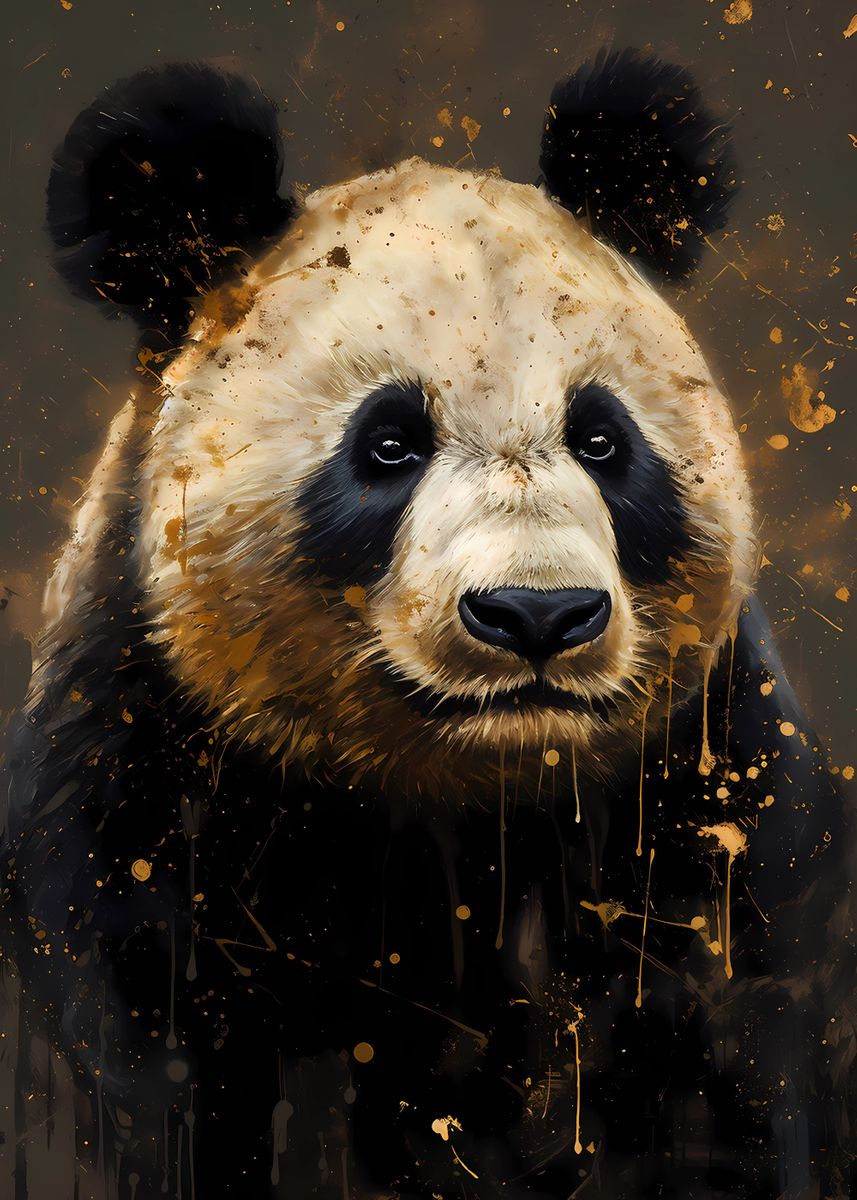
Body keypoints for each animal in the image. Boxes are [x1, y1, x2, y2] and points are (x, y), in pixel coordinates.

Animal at [3, 51, 855, 1200]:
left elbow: (725, 1062)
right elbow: (156, 1067)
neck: (465, 805)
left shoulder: (710, 801)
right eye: (388, 444)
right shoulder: (141, 784)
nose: (537, 614)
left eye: (602, 439)